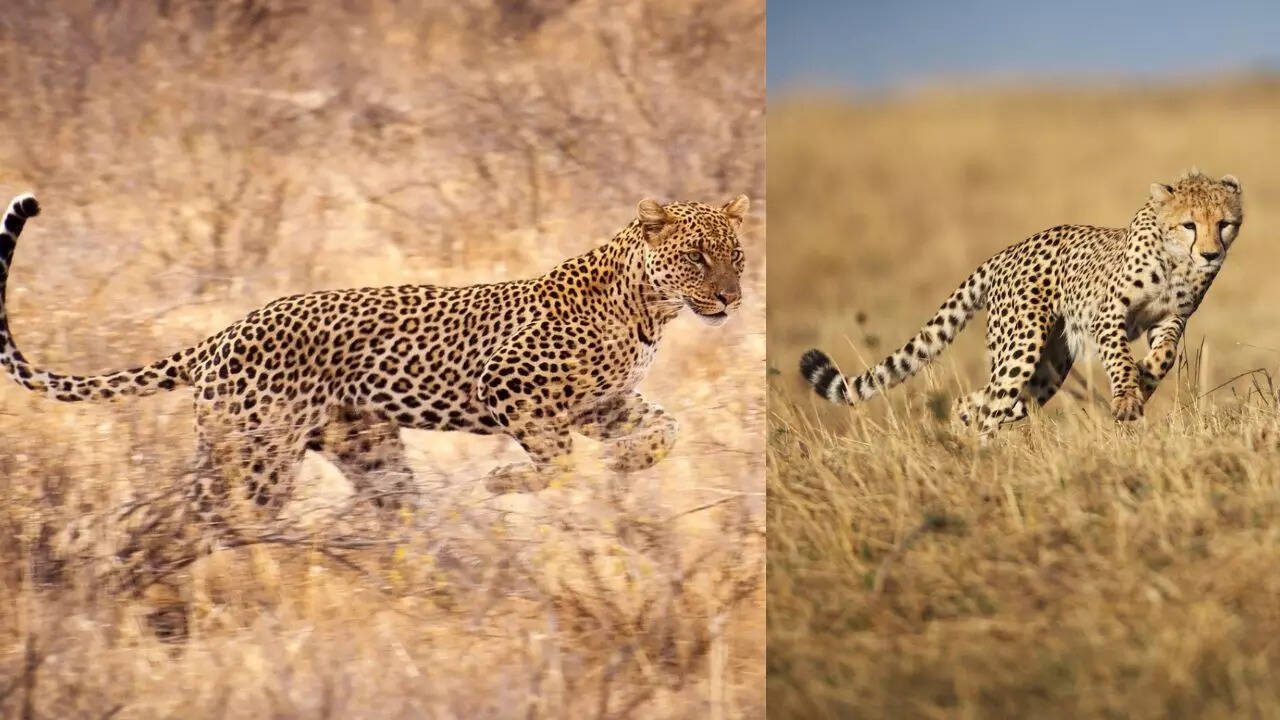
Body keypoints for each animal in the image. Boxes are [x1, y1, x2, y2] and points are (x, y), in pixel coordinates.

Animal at [1, 193, 750, 517]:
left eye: (736, 256)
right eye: (696, 257)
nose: (732, 298)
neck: (649, 311)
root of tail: (224, 332)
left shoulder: (604, 403)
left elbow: (667, 430)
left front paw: (625, 463)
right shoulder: (512, 388)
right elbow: (557, 463)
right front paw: (505, 482)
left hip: (370, 453)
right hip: (254, 459)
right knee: (197, 520)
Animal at [799, 170, 1242, 438]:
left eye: (1224, 224)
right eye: (1189, 225)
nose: (1210, 254)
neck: (1177, 261)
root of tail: (1004, 253)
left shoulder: (1170, 318)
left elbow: (1164, 355)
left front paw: (1143, 381)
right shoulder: (1108, 314)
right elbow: (1118, 357)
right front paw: (1127, 394)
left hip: (1047, 370)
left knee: (975, 403)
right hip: (1023, 345)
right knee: (990, 406)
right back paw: (981, 461)